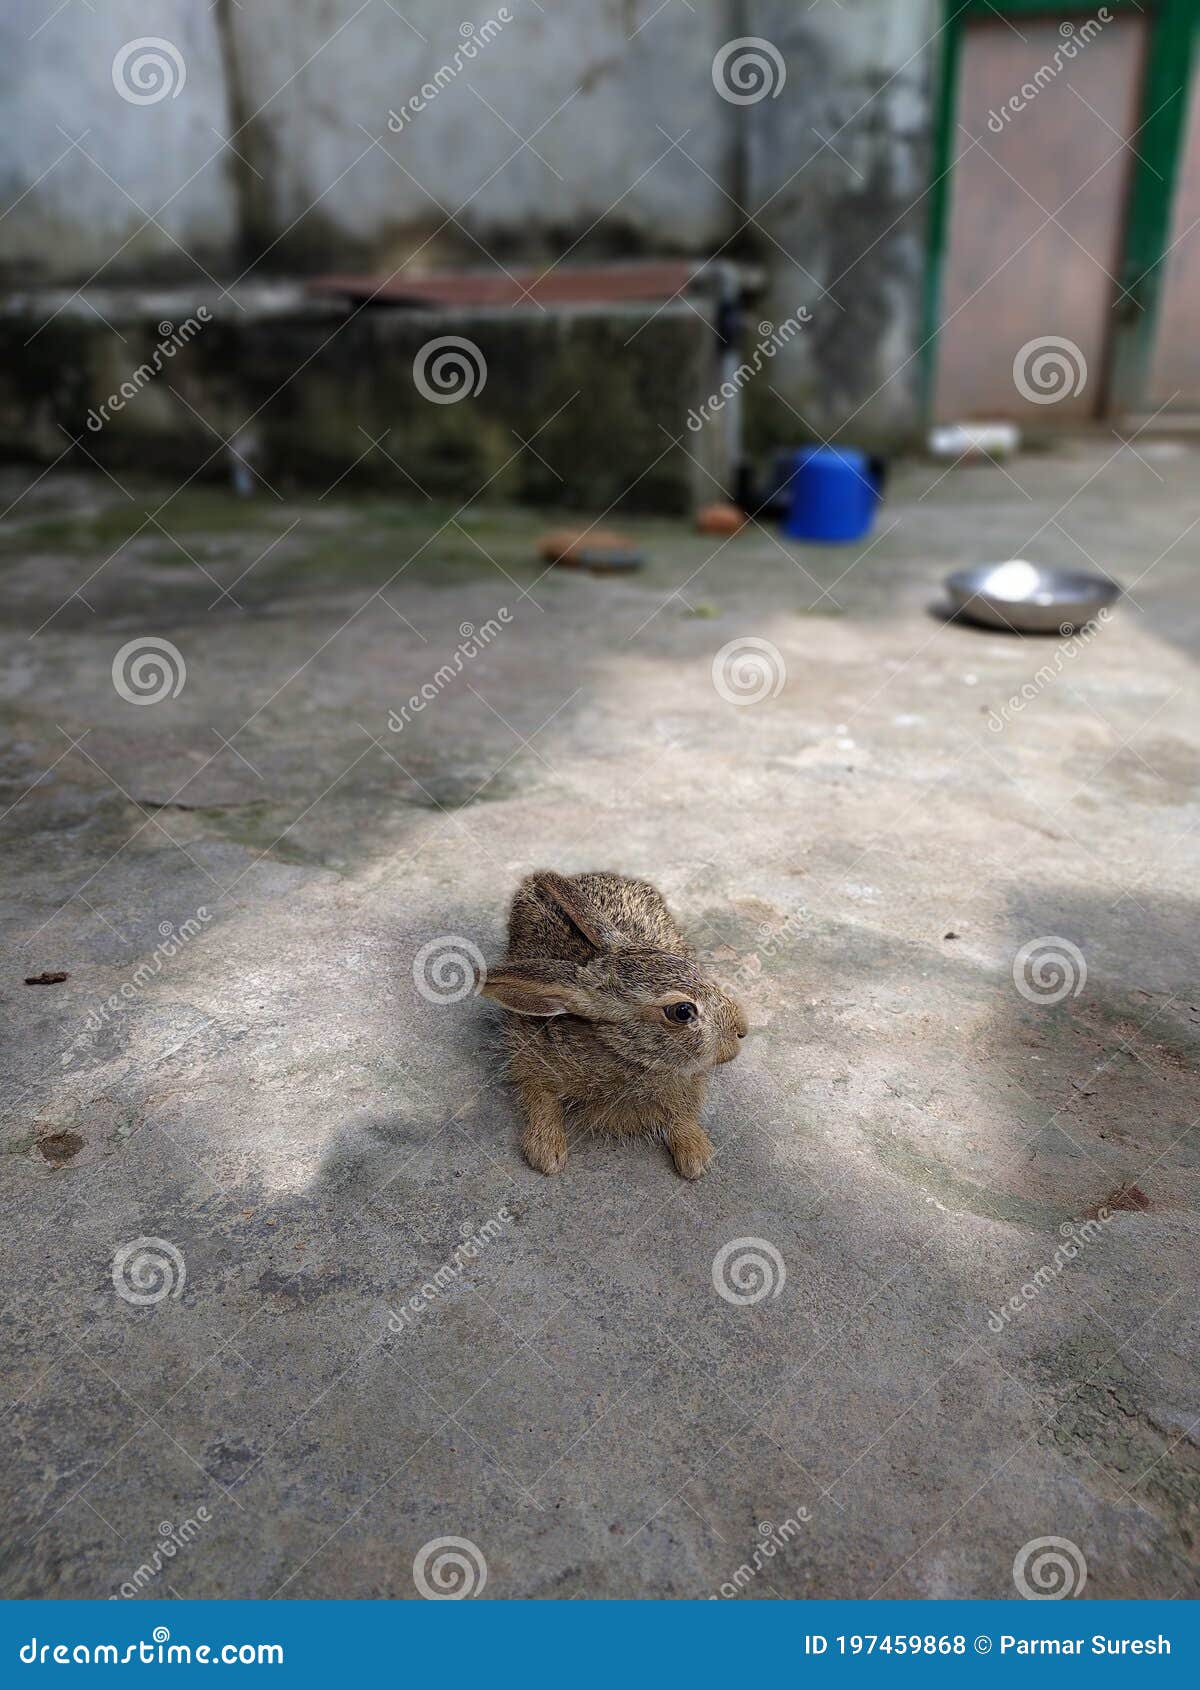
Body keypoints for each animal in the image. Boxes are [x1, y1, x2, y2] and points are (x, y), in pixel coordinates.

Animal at [479, 869, 748, 1180]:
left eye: (696, 970)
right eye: (682, 1012)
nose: (742, 1030)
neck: (620, 1054)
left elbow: (683, 1110)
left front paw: (696, 1155)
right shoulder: (529, 1052)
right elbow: (540, 1098)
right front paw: (546, 1152)